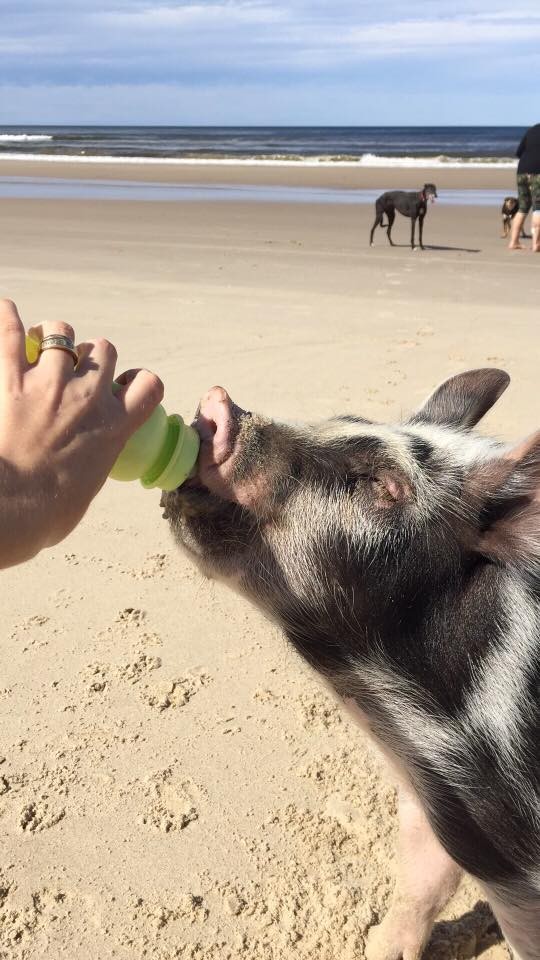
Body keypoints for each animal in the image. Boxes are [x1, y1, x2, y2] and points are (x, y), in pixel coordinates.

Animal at [161, 370, 540, 960]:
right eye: (345, 421)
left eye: (381, 485)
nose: (223, 406)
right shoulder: (428, 804)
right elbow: (424, 877)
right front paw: (377, 947)